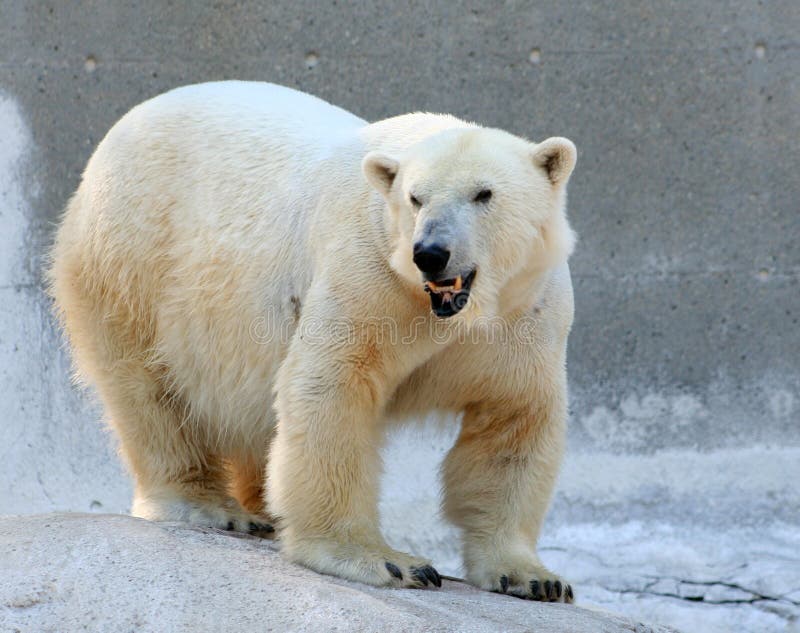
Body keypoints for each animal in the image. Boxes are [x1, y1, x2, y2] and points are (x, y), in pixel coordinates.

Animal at [48, 81, 578, 602]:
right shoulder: (371, 274)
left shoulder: (524, 315)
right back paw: (210, 505)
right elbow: (334, 386)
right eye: (415, 198)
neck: (450, 311)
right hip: (133, 257)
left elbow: (514, 418)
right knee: (151, 392)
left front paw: (534, 577)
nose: (430, 253)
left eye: (484, 194)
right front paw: (388, 562)